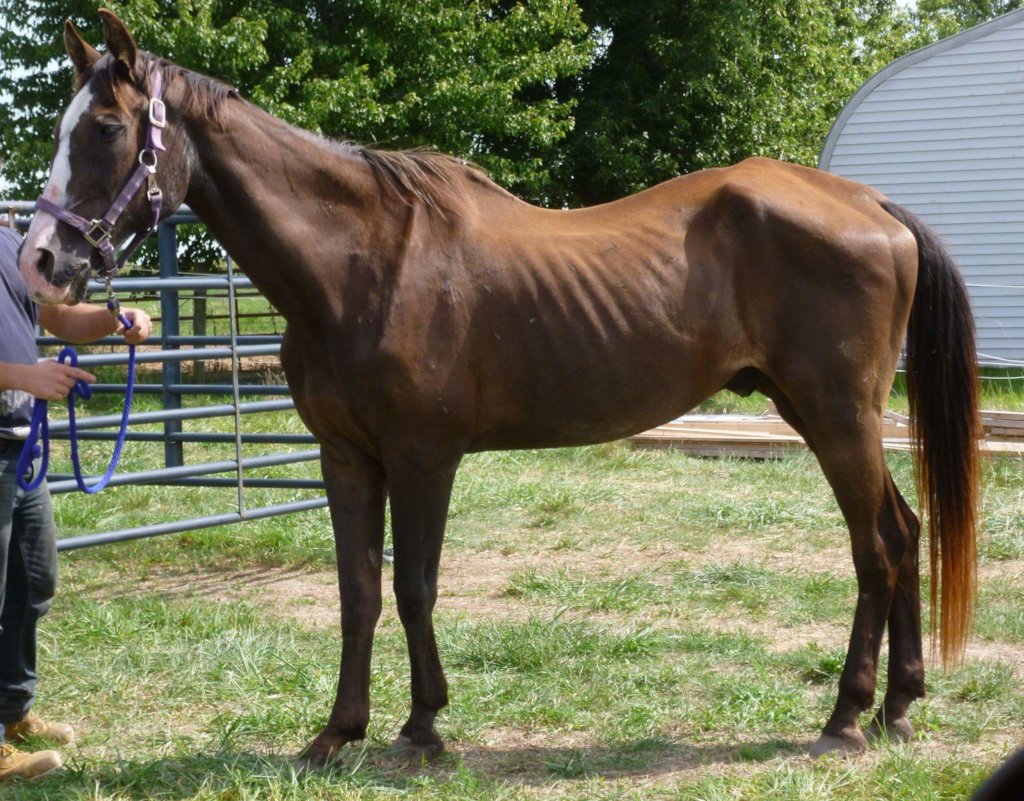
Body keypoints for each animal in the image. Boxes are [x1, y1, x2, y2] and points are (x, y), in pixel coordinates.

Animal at [20, 10, 980, 765]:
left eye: (104, 128)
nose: (41, 261)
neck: (361, 264)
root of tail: (870, 204)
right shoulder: (345, 456)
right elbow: (358, 589)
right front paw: (338, 731)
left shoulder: (423, 457)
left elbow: (414, 586)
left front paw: (423, 729)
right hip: (826, 415)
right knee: (904, 532)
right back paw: (898, 706)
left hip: (835, 415)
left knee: (876, 547)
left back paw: (847, 716)